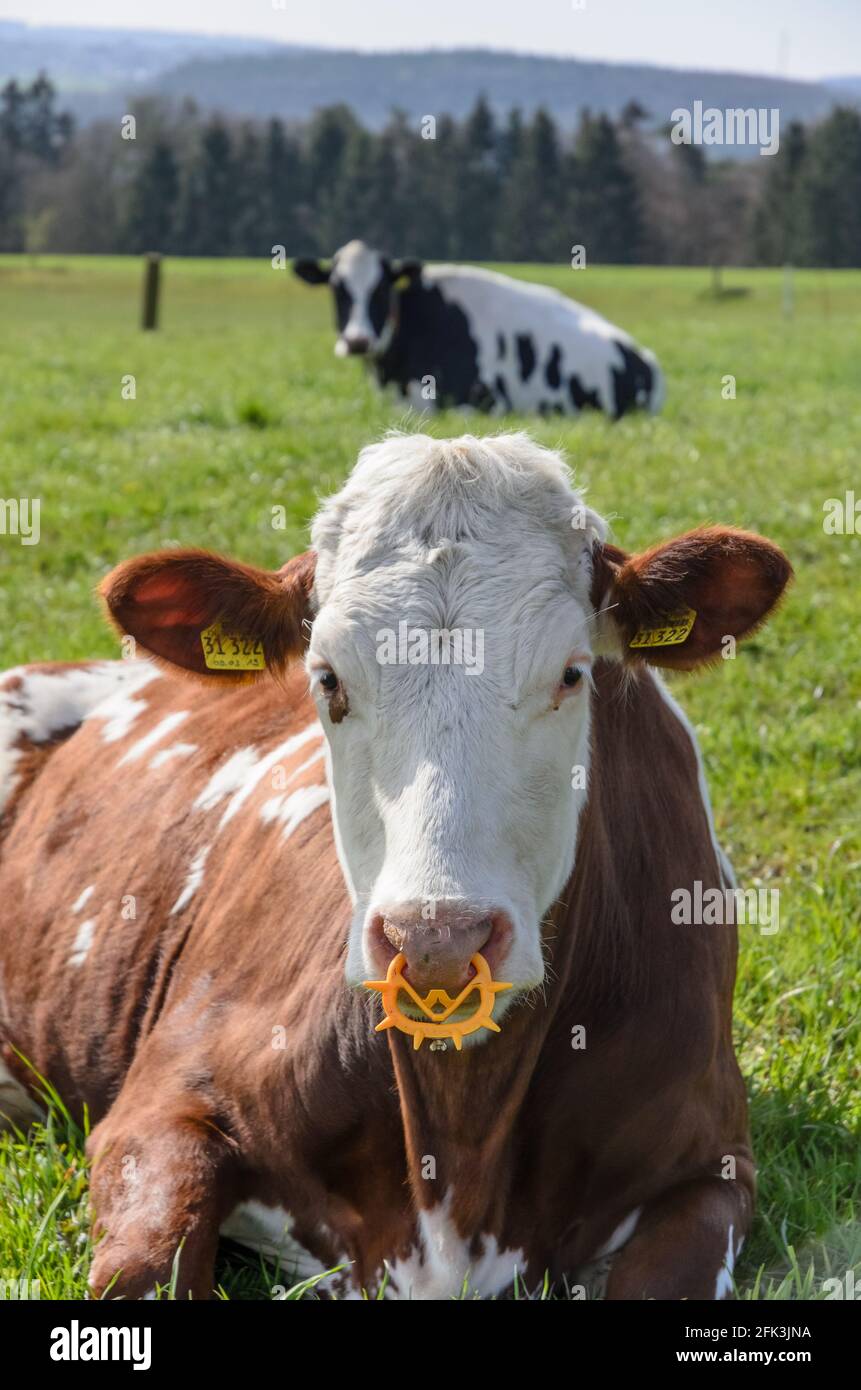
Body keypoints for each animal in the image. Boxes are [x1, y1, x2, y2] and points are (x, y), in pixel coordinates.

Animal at [0, 432, 791, 1301]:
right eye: (326, 678)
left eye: (571, 672)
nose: (437, 941)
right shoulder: (160, 1104)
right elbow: (143, 1269)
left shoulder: (712, 1165)